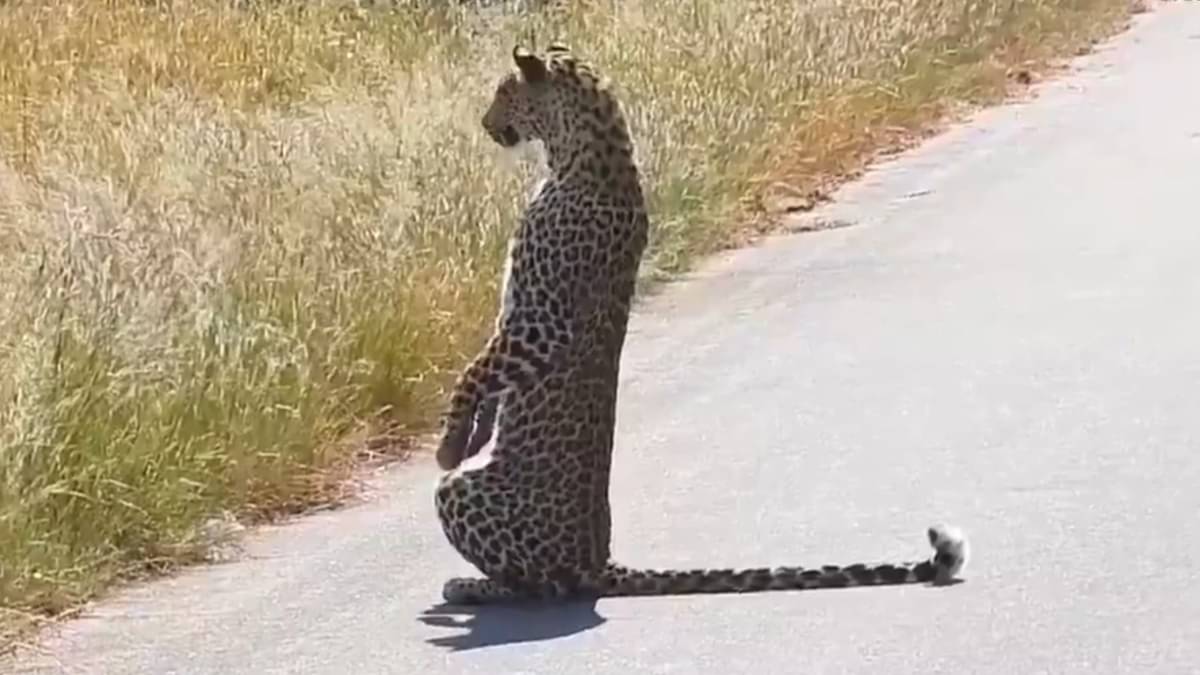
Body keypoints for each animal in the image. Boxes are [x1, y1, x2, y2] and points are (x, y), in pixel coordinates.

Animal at [432, 43, 970, 605]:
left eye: (504, 92)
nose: (486, 123)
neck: (575, 154)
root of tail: (599, 563)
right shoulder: (515, 314)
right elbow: (488, 368)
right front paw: (473, 435)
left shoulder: (543, 324)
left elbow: (475, 371)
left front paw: (449, 446)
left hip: (469, 500)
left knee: (541, 586)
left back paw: (469, 587)